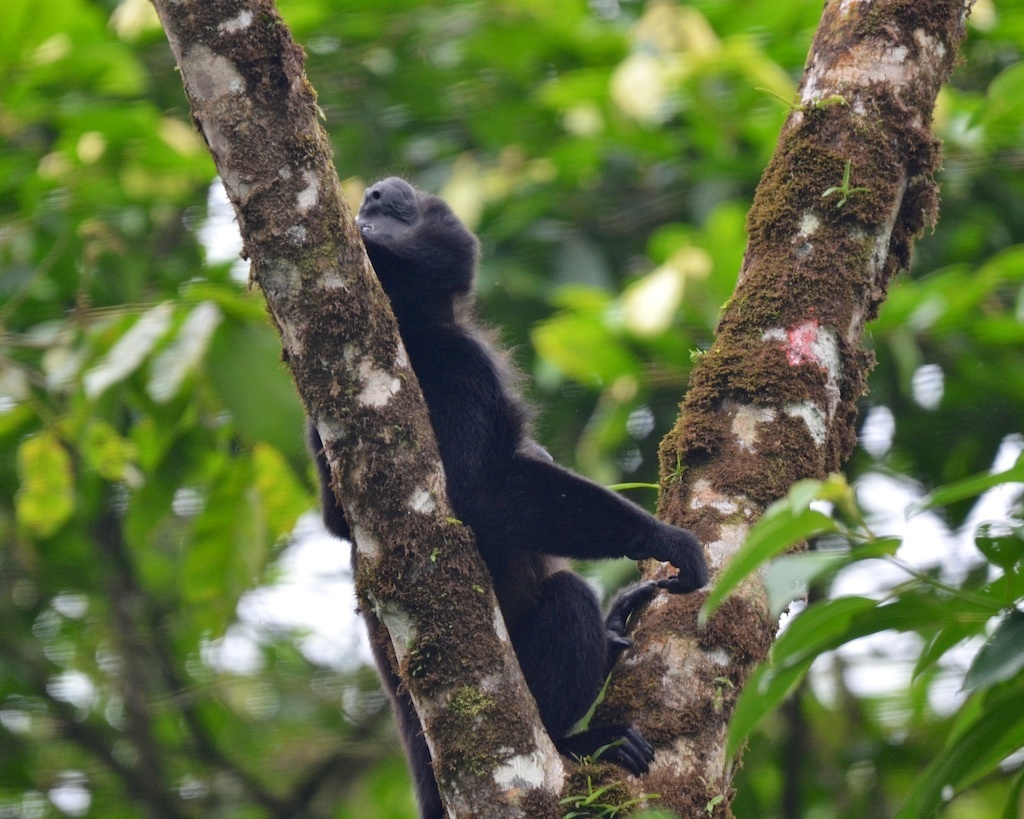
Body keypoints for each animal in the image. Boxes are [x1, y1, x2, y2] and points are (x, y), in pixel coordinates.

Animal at [308, 177, 708, 818]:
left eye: (376, 209)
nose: (375, 191)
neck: (414, 320)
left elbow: (335, 515)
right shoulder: (456, 367)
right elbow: (482, 493)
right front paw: (665, 539)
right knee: (567, 598)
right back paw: (581, 741)